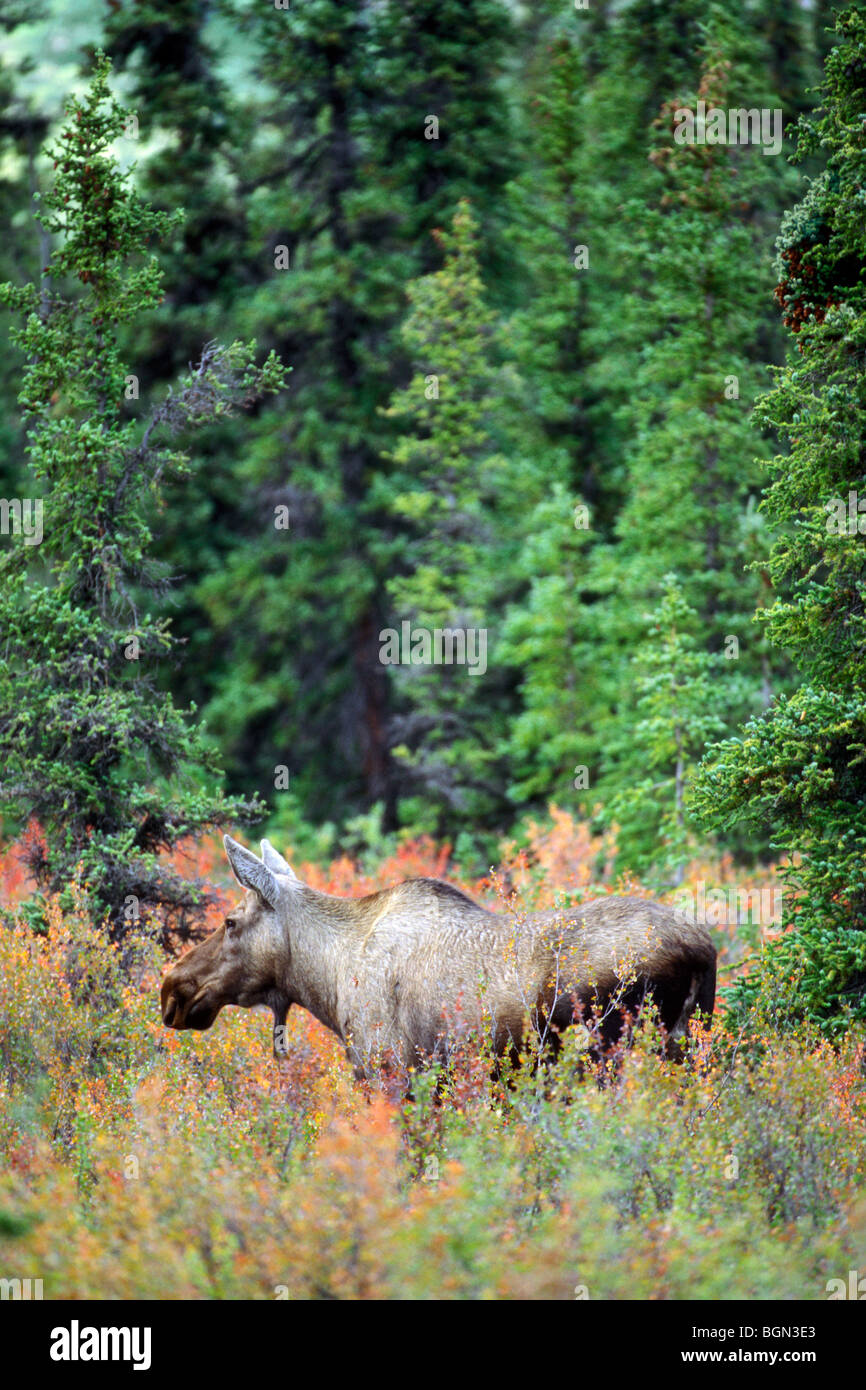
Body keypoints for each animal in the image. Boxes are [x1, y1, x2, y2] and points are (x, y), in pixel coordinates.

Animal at [160, 836, 716, 1080]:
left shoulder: (389, 1071)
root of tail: (704, 948)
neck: (326, 982)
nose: (171, 989)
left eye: (230, 922)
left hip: (617, 1046)